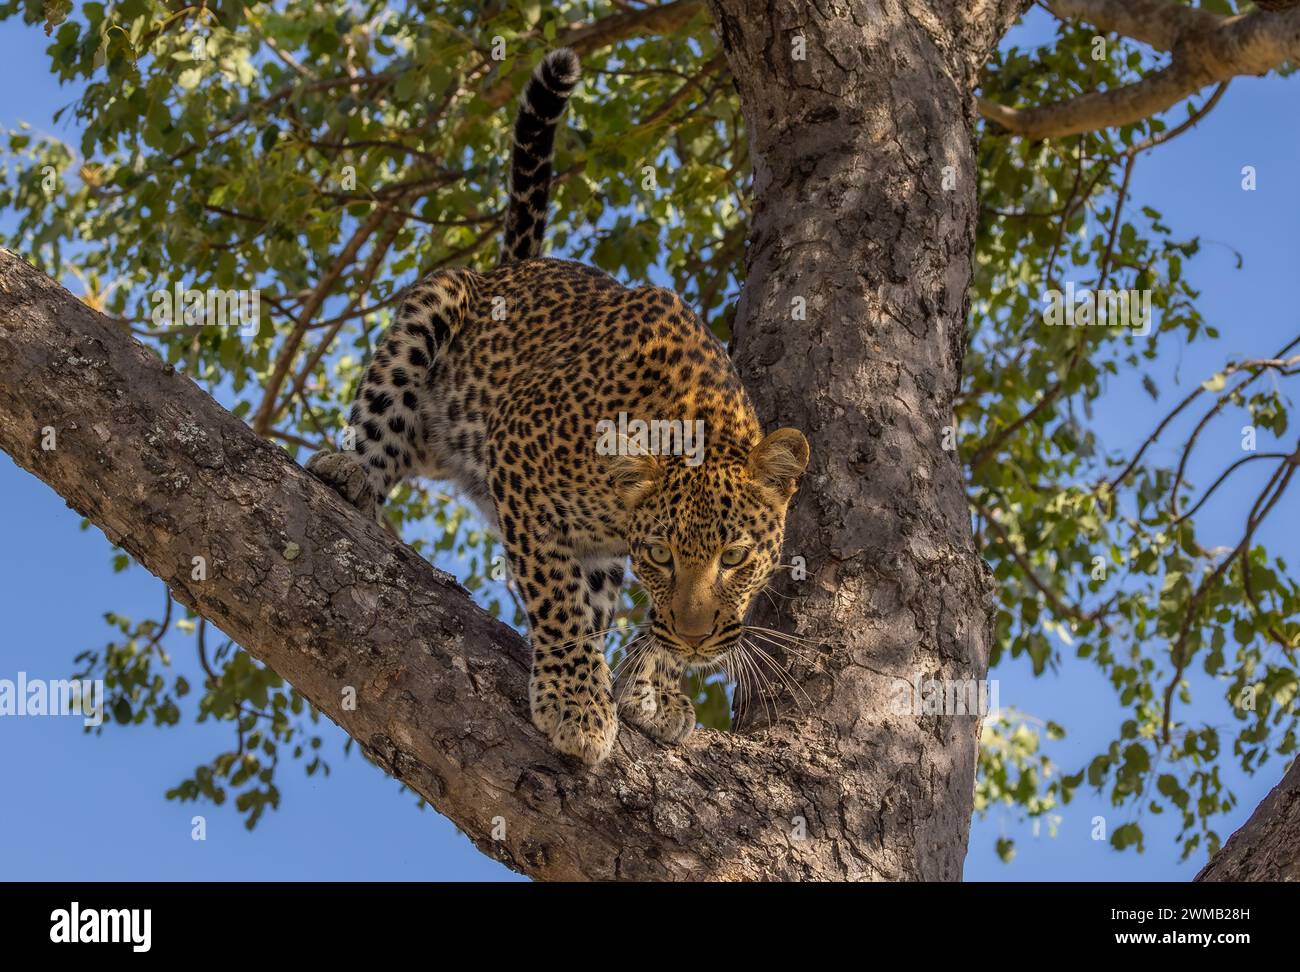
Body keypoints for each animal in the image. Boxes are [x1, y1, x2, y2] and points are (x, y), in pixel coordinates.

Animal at [306, 48, 809, 767]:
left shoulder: (600, 550)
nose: (694, 640)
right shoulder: (519, 452)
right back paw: (352, 472)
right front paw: (577, 702)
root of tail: (515, 269)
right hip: (435, 308)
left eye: (736, 558)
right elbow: (558, 600)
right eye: (660, 555)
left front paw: (654, 686)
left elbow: (602, 608)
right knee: (386, 419)